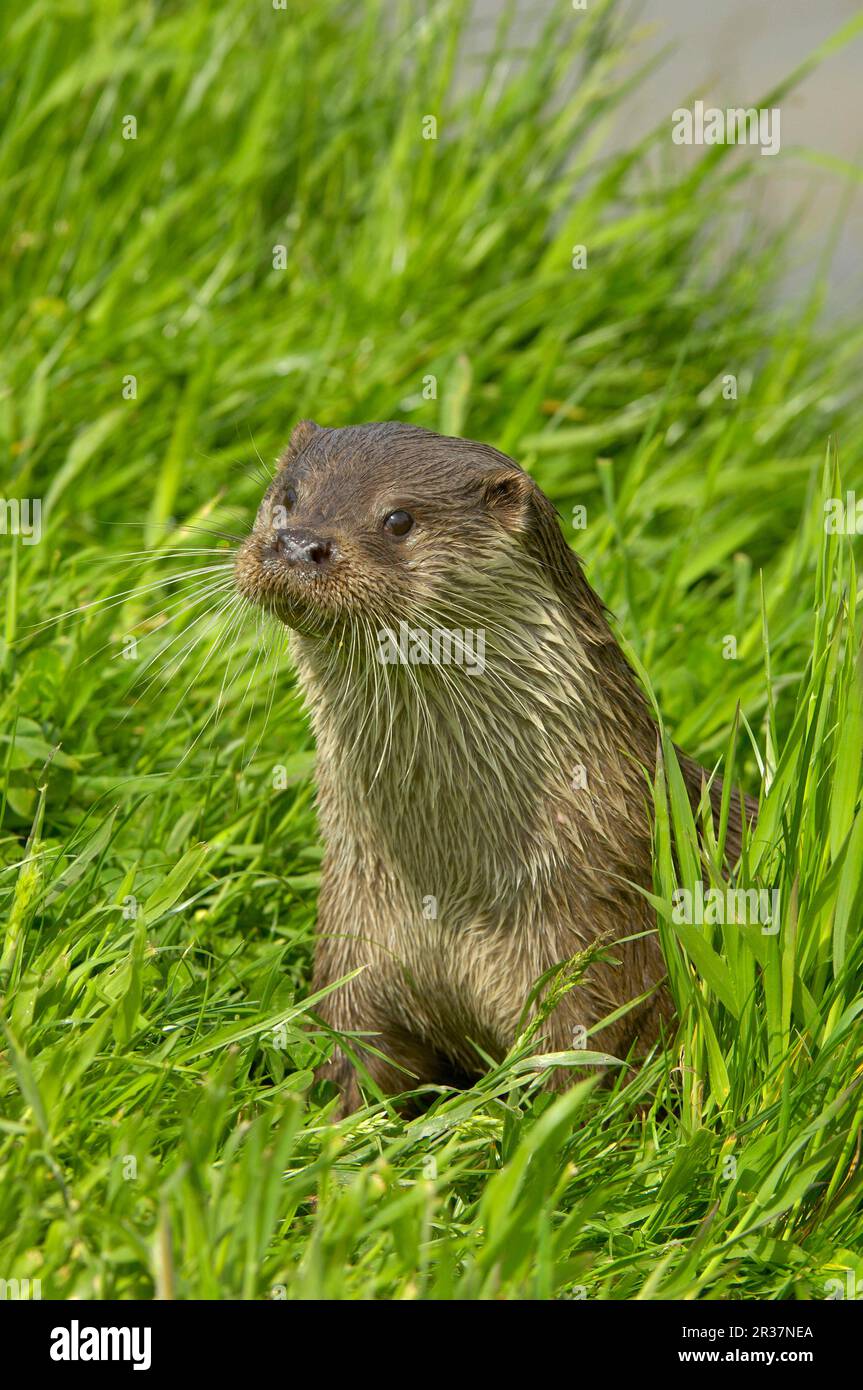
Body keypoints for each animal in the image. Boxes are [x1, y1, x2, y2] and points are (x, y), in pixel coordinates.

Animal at [235, 420, 754, 1116]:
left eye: (398, 519)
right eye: (288, 497)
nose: (296, 543)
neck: (451, 885)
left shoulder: (597, 956)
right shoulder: (356, 952)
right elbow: (352, 1064)